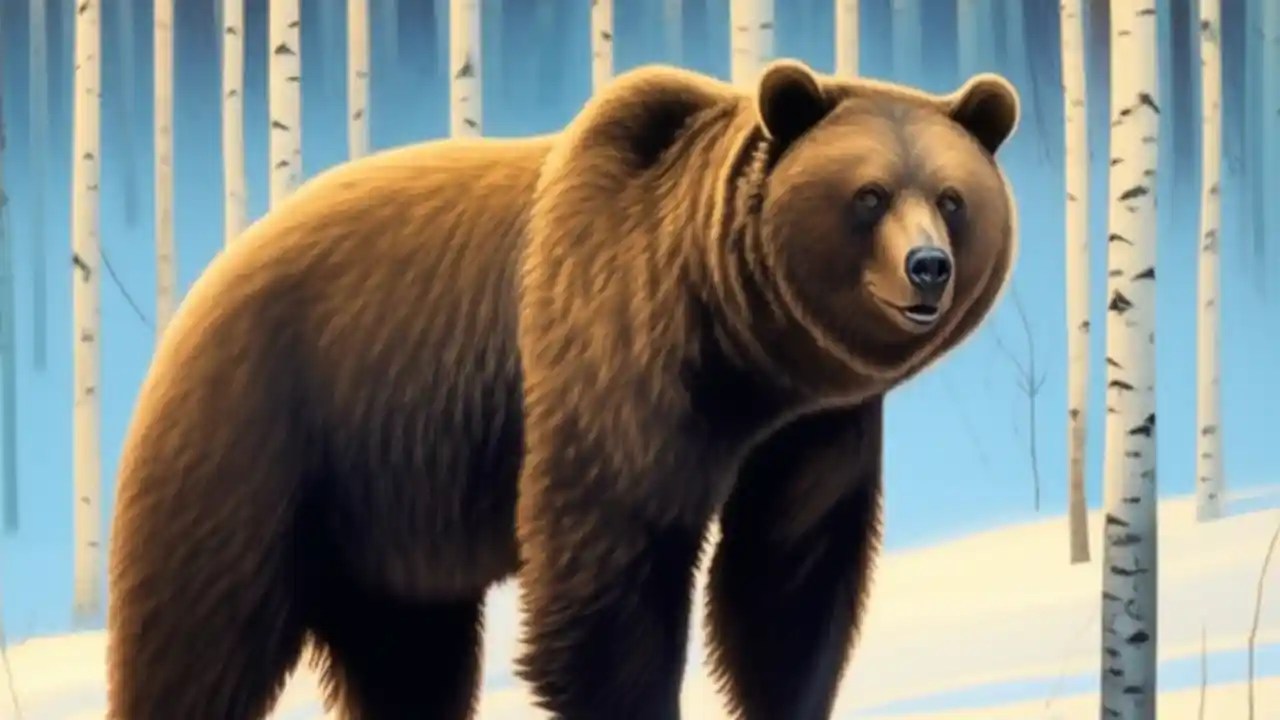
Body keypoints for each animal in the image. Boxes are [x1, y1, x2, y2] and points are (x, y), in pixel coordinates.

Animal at [106, 58, 1019, 720]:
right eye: (868, 195)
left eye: (952, 198)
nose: (927, 267)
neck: (745, 350)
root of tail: (199, 293)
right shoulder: (613, 346)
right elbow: (611, 573)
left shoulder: (814, 429)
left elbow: (790, 571)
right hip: (259, 440)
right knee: (200, 637)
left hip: (388, 518)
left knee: (411, 659)